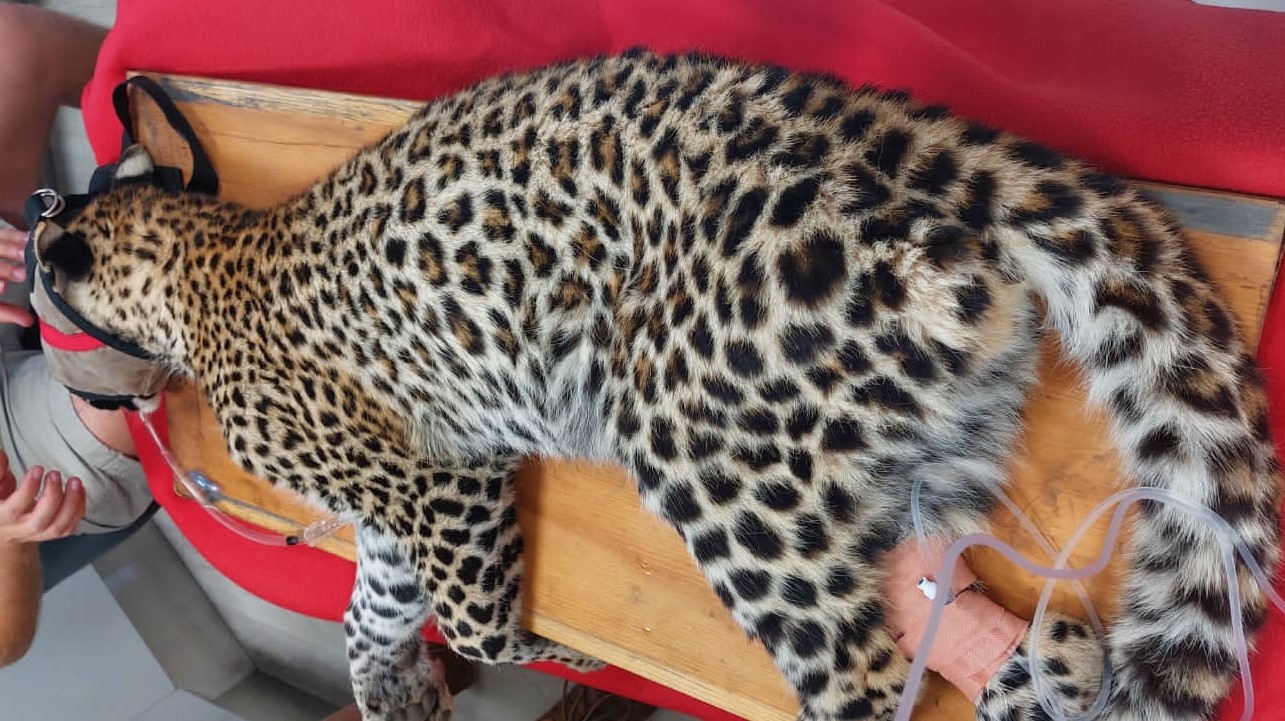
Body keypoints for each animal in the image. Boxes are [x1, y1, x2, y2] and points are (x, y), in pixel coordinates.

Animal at [33, 49, 1281, 721]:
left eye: (40, 249)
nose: (32, 233)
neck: (191, 254)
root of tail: (921, 154)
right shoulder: (391, 515)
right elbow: (366, 608)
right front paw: (397, 685)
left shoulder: (441, 485)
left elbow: (474, 616)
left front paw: (546, 659)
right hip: (905, 464)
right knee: (1001, 624)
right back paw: (1045, 667)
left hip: (703, 455)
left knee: (864, 674)